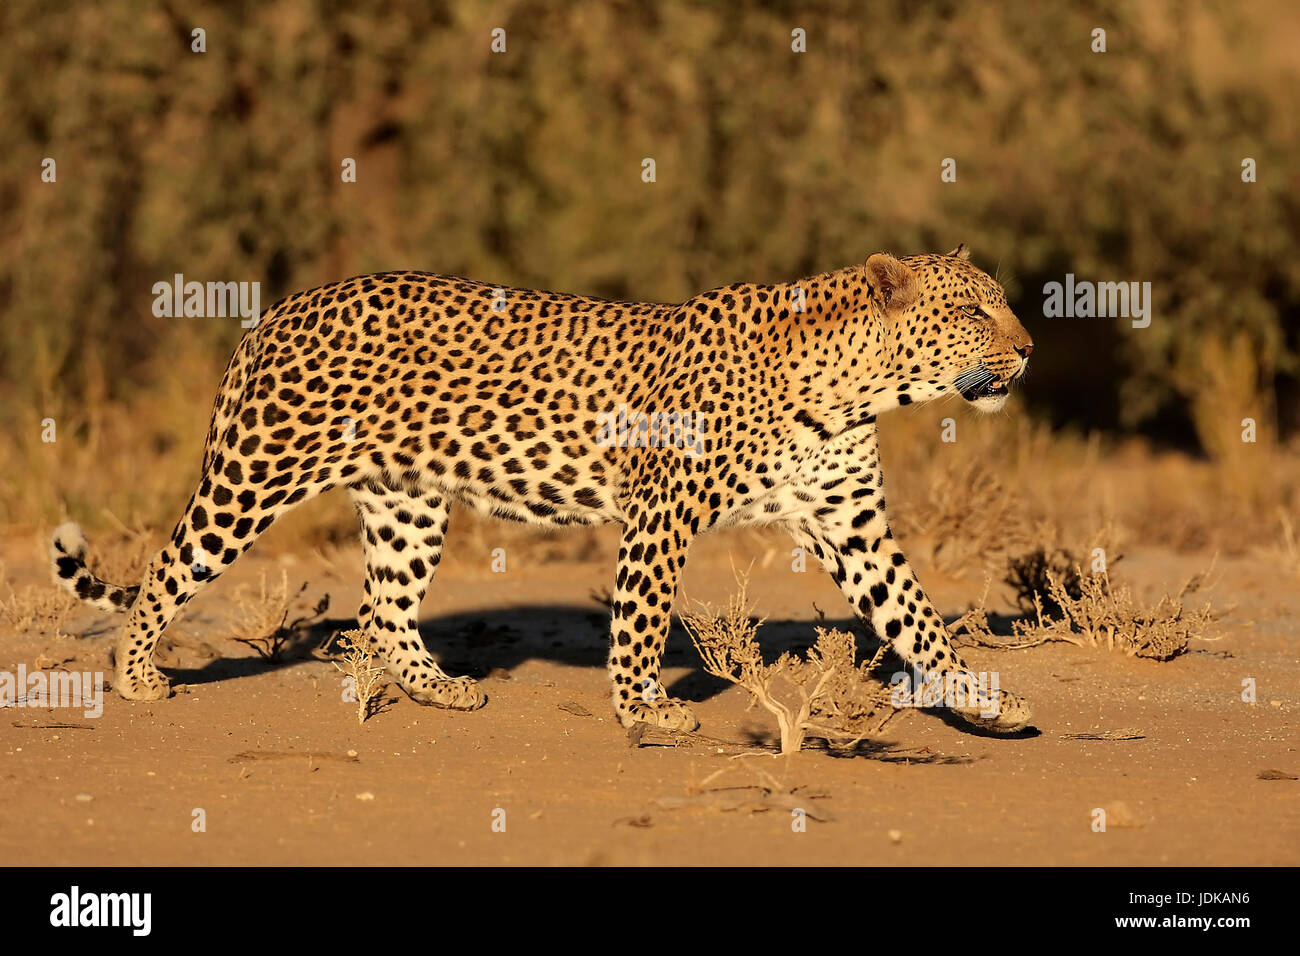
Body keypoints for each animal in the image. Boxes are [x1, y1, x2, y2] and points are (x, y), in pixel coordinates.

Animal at [51, 244, 1035, 734]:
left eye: (1002, 302)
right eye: (972, 309)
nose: (1027, 348)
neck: (862, 387)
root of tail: (276, 313)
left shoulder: (851, 521)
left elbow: (918, 618)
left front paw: (985, 700)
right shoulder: (664, 513)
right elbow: (641, 617)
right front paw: (644, 711)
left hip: (407, 500)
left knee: (386, 608)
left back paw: (439, 691)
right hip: (261, 469)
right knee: (172, 563)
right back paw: (135, 678)